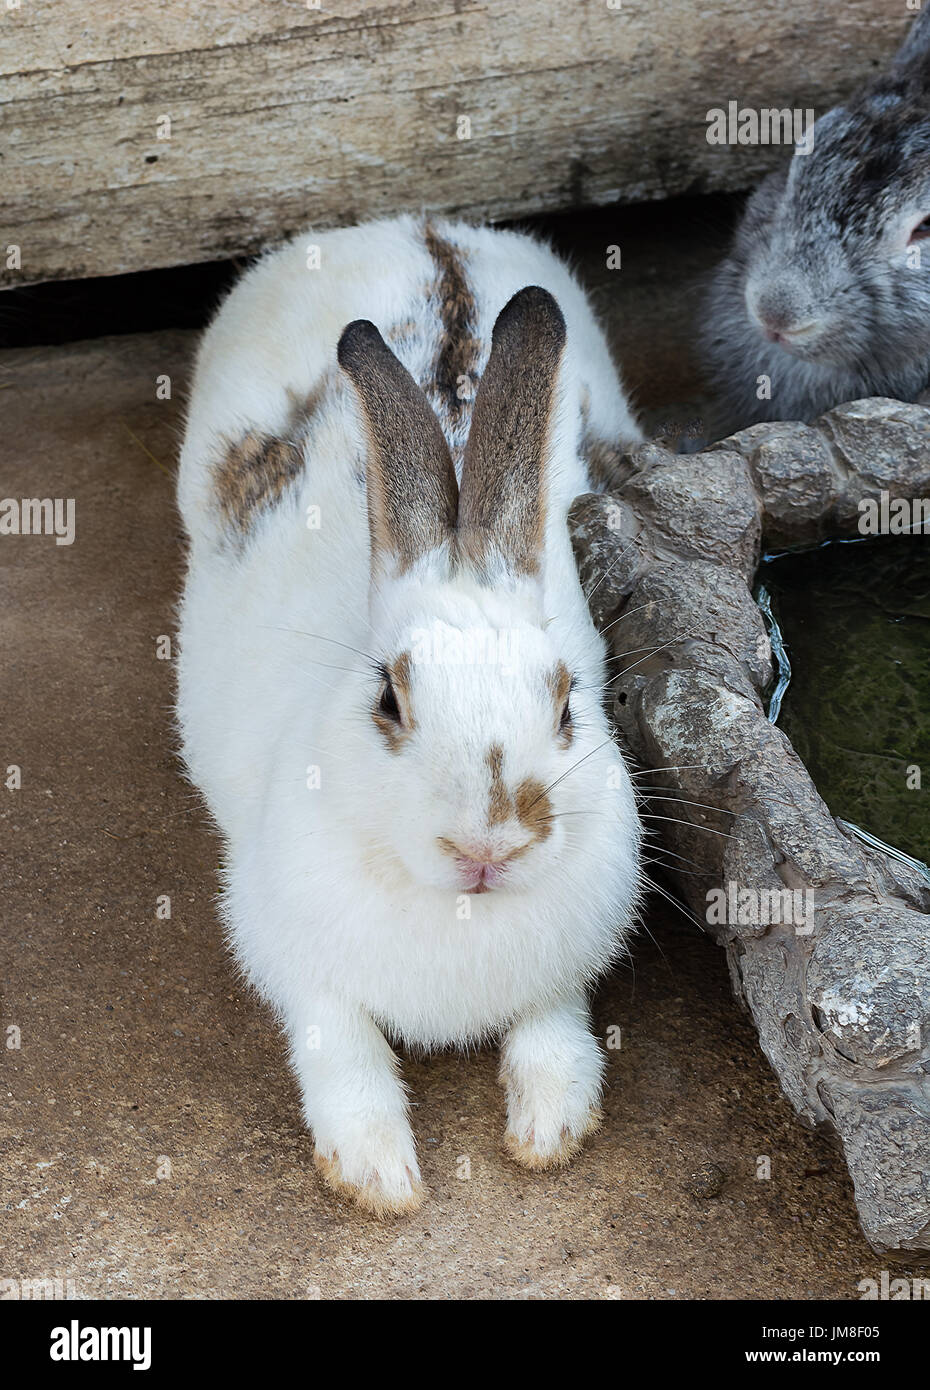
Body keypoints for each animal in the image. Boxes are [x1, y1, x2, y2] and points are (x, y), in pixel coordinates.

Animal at [175, 214, 643, 1216]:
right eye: (389, 698)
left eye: (567, 702)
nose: (489, 846)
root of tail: (419, 228)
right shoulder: (298, 963)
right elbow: (341, 1053)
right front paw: (379, 1177)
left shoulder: (565, 967)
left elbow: (554, 1026)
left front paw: (549, 1129)